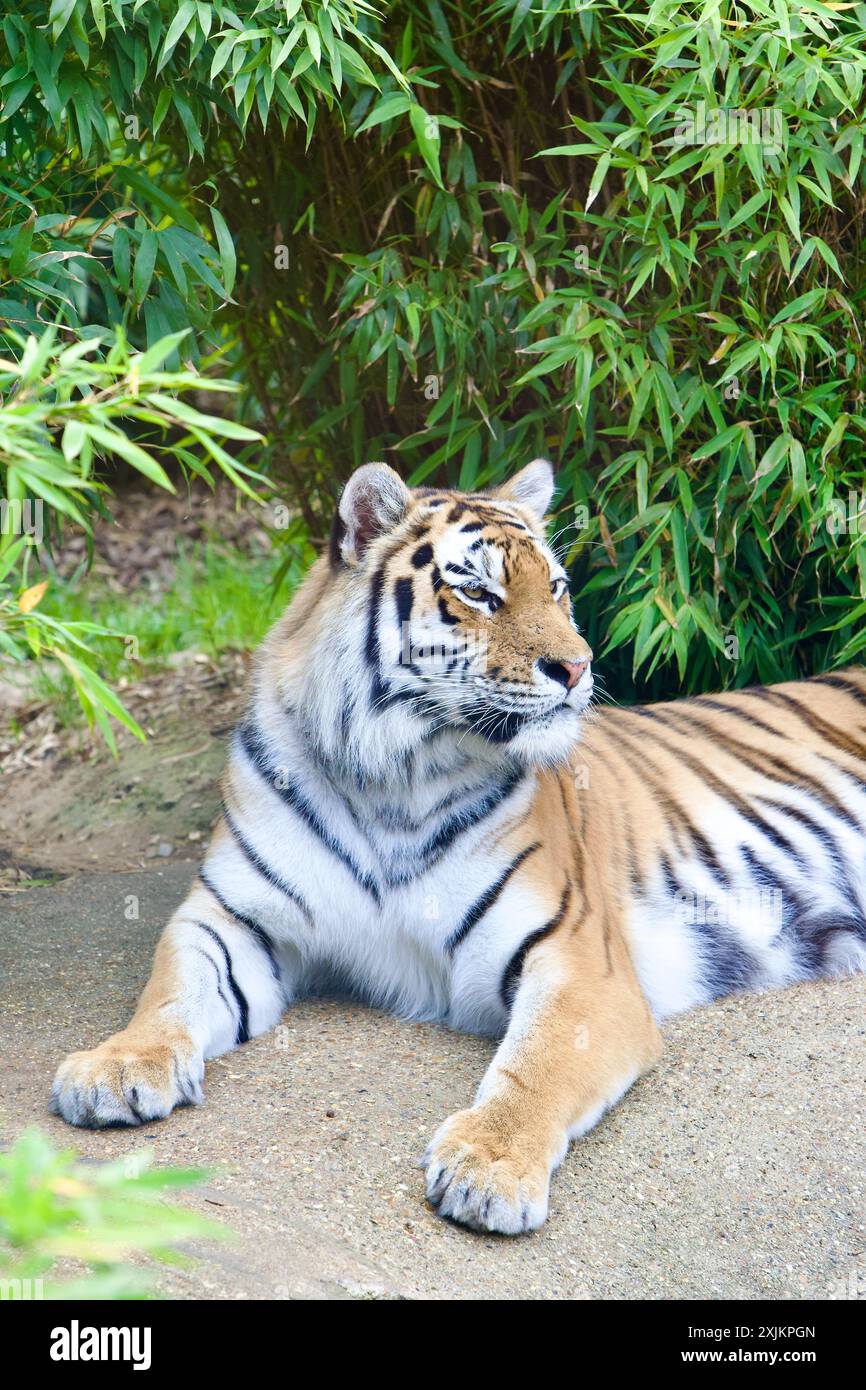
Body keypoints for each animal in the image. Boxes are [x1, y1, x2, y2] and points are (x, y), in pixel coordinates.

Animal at [50, 459, 866, 1234]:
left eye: (557, 588)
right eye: (478, 591)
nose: (579, 668)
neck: (390, 782)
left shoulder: (579, 961)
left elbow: (535, 1066)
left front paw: (490, 1166)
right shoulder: (227, 916)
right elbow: (170, 993)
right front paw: (114, 1068)